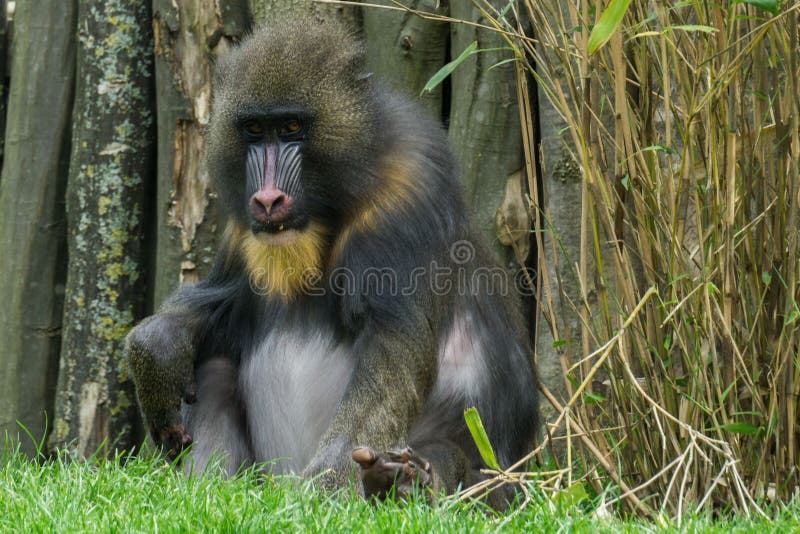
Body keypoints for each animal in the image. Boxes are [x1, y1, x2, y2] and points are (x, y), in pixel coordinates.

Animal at [125, 15, 539, 507]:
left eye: (291, 127)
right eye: (253, 130)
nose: (268, 199)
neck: (332, 200)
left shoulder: (403, 198)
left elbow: (392, 355)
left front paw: (324, 489)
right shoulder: (244, 229)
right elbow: (220, 302)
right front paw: (157, 346)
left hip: (495, 486)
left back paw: (401, 482)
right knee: (213, 366)